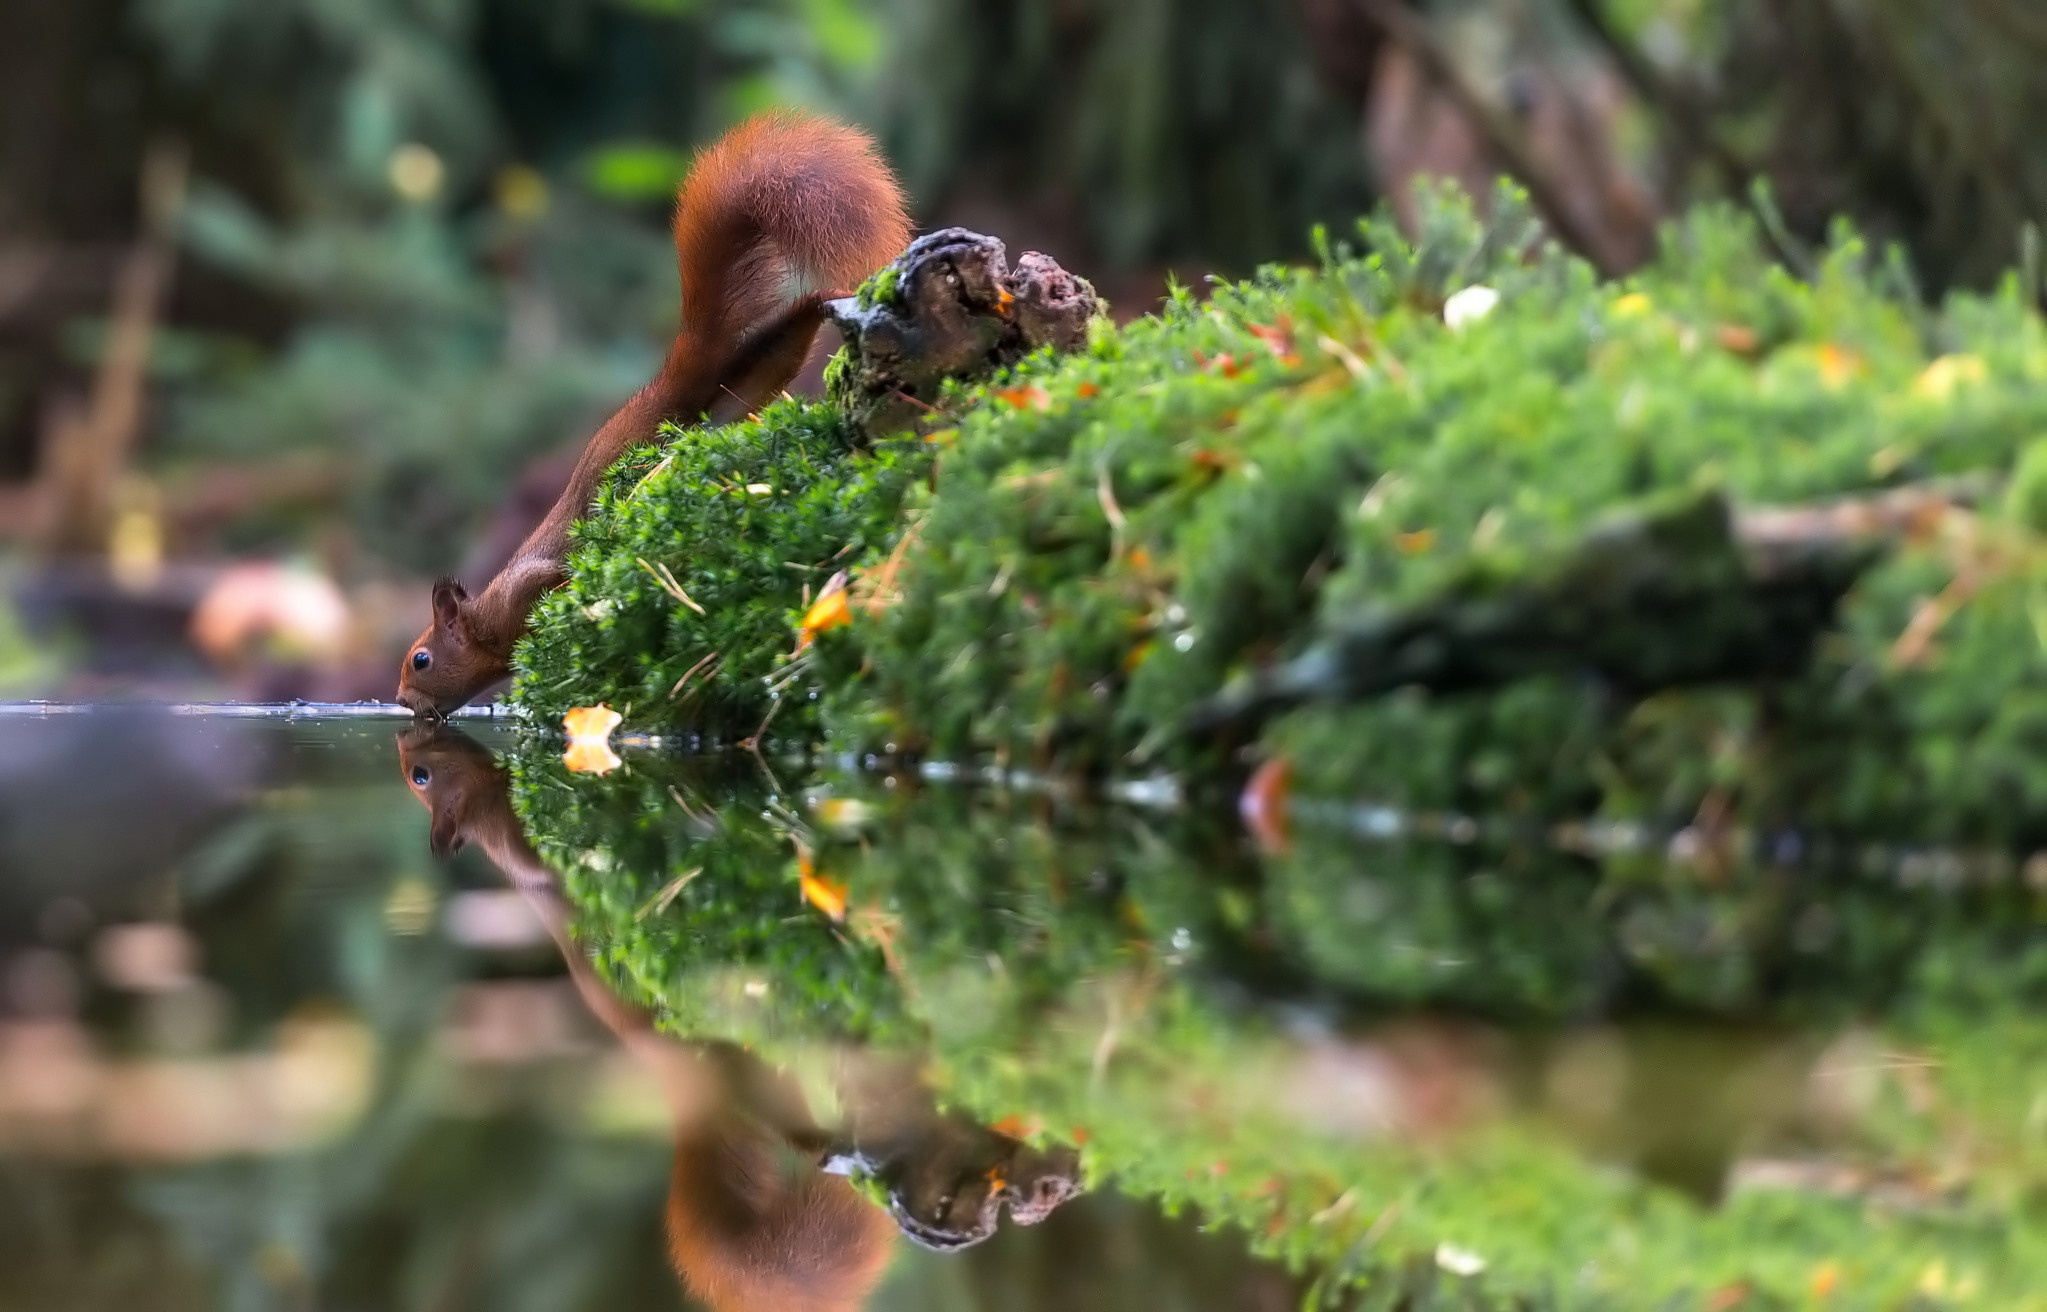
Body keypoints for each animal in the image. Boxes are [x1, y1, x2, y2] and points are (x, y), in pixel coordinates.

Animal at [397, 111, 911, 718]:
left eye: (421, 659)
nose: (402, 702)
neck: (481, 626)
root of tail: (673, 375)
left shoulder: (521, 593)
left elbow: (553, 578)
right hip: (740, 379)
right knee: (779, 344)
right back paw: (821, 304)